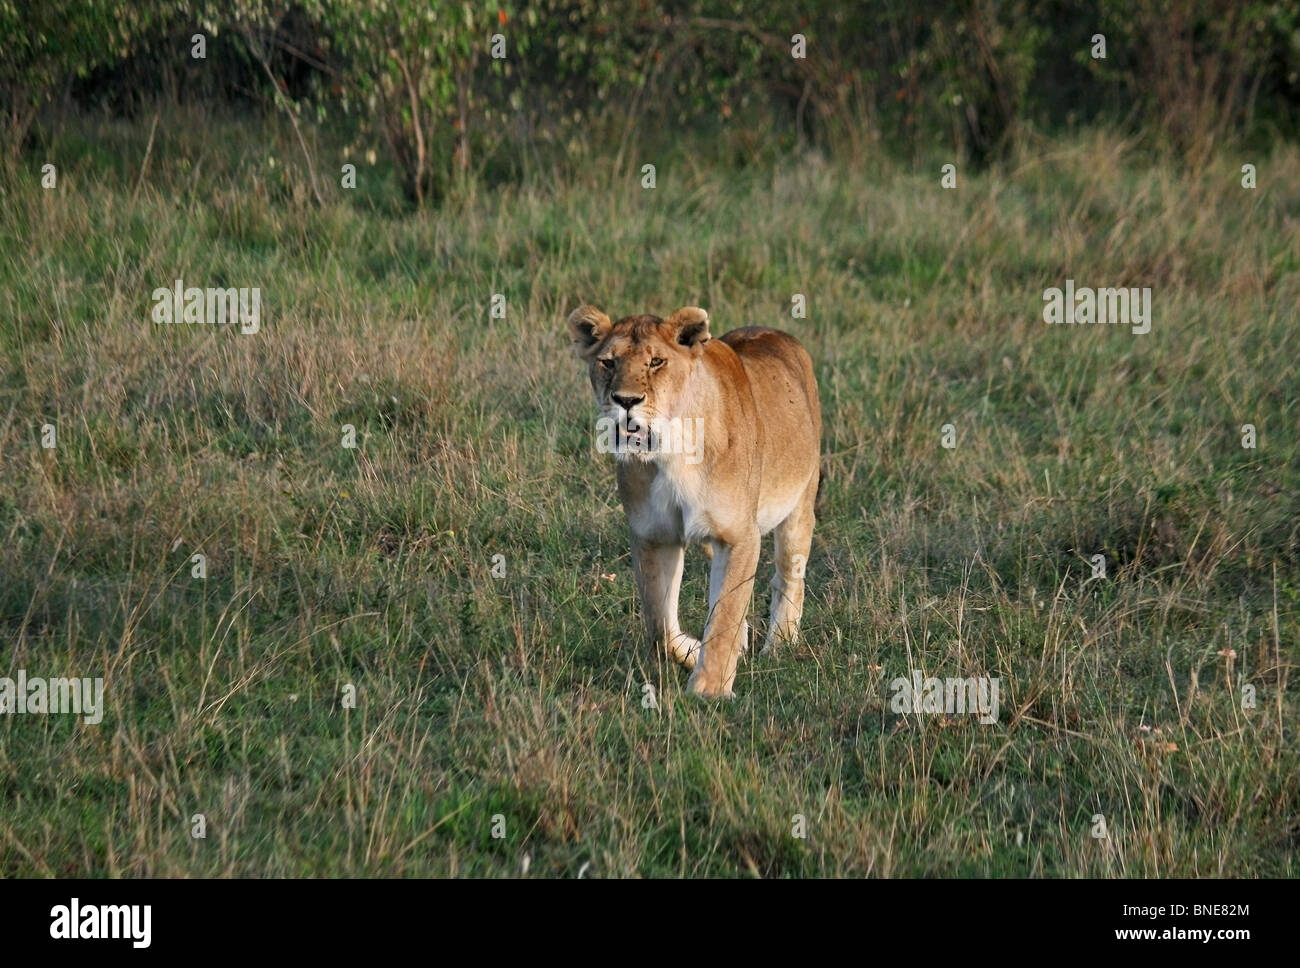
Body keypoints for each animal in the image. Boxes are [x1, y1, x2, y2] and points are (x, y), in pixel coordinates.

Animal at [567, 304, 822, 698]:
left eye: (656, 362)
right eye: (608, 362)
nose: (626, 401)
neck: (669, 452)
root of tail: (776, 332)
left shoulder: (740, 536)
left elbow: (725, 615)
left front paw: (709, 690)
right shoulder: (654, 537)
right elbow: (661, 628)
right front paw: (693, 650)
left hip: (799, 505)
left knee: (789, 576)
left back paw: (780, 643)